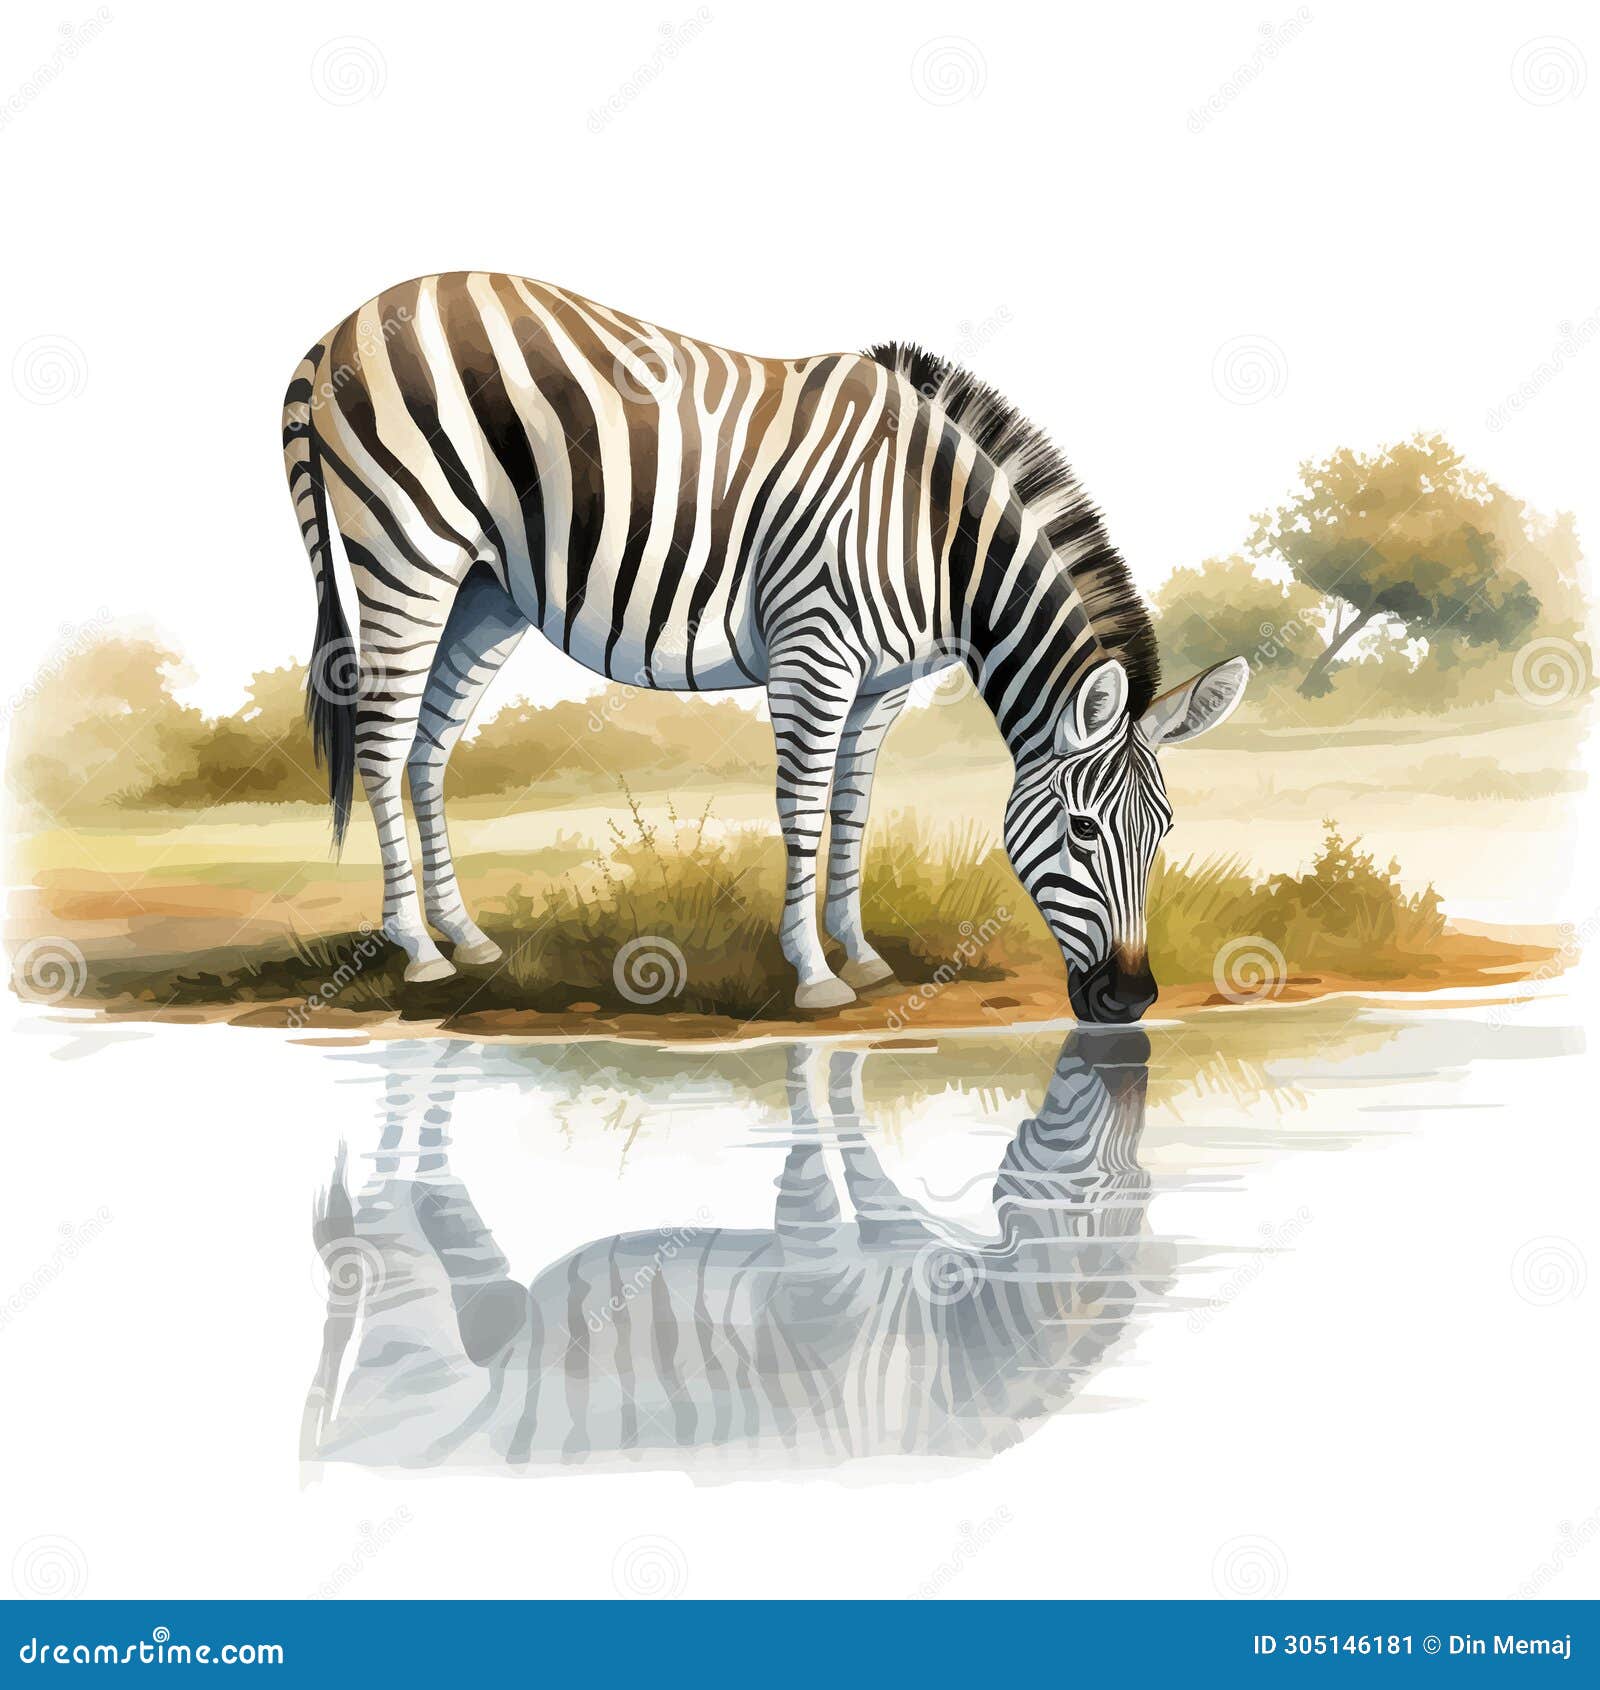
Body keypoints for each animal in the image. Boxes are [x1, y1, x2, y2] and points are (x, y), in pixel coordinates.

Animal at [282, 275, 1248, 1019]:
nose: (1131, 1002)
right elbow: (803, 807)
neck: (933, 530)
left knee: (428, 748)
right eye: (1083, 830)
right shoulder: (813, 649)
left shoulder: (883, 682)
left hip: (487, 590)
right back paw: (418, 951)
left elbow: (852, 810)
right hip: (405, 549)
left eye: (1164, 829)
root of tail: (349, 323)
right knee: (381, 744)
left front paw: (863, 956)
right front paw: (816, 976)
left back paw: (468, 940)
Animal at [303, 1030, 1164, 1472]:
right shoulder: (870, 1243)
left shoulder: (818, 1269)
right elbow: (848, 1138)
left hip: (452, 1341)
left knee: (427, 1241)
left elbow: (814, 1155)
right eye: (1107, 1177)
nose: (1117, 1063)